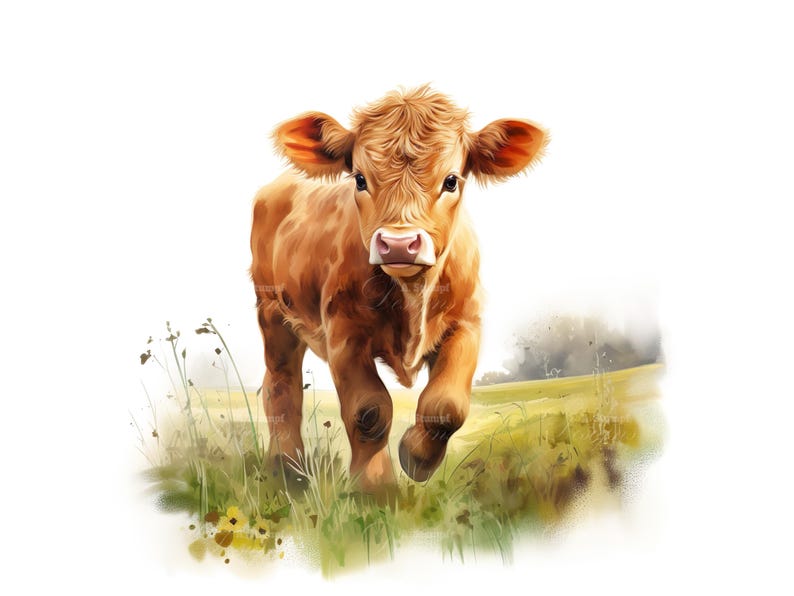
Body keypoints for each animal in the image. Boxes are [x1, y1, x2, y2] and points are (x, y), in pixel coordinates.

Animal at [250, 86, 547, 493]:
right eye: (359, 179)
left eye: (451, 180)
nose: (399, 244)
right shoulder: (344, 332)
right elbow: (369, 410)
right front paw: (375, 488)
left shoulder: (467, 323)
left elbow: (447, 406)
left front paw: (416, 458)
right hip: (272, 312)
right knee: (281, 384)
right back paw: (287, 468)